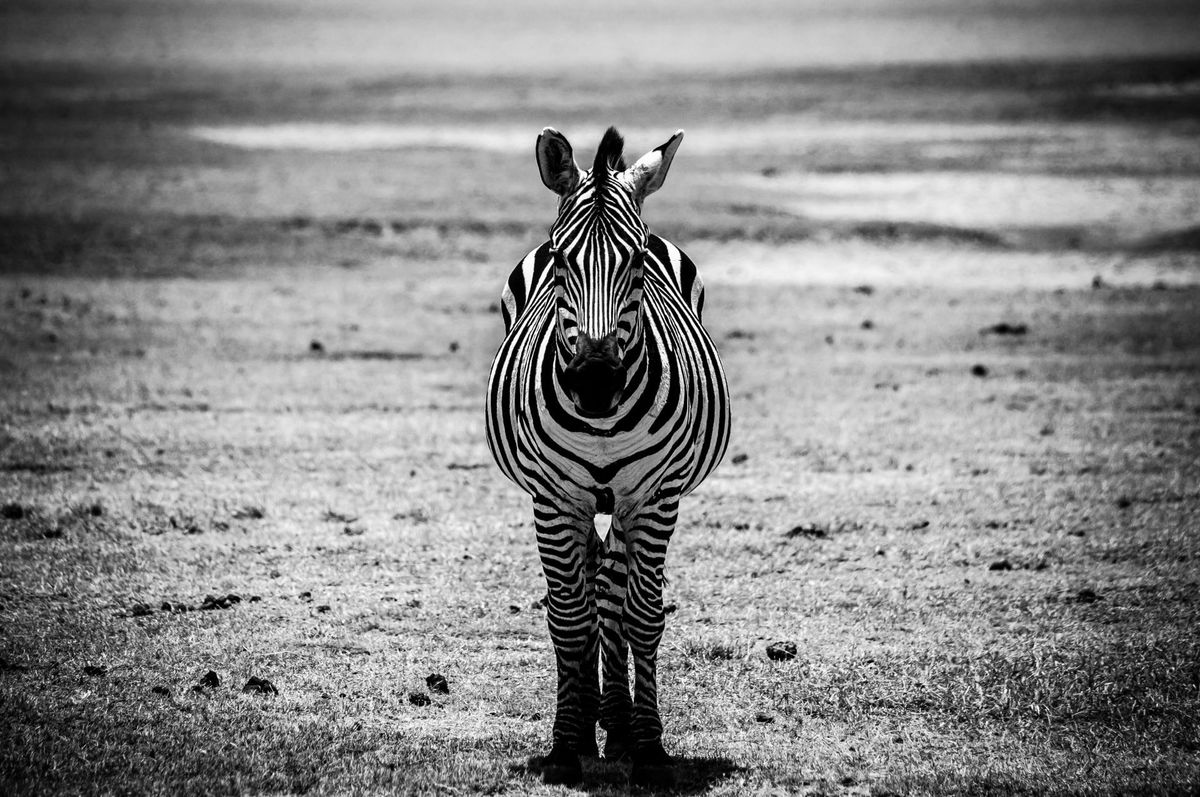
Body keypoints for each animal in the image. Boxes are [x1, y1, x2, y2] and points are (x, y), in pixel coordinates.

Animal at [485, 126, 731, 787]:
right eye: (558, 259)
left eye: (639, 261)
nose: (595, 383)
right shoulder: (555, 499)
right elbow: (570, 621)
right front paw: (566, 745)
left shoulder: (654, 498)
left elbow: (641, 617)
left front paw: (647, 747)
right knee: (592, 596)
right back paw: (595, 721)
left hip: (624, 503)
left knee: (615, 599)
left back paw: (616, 727)